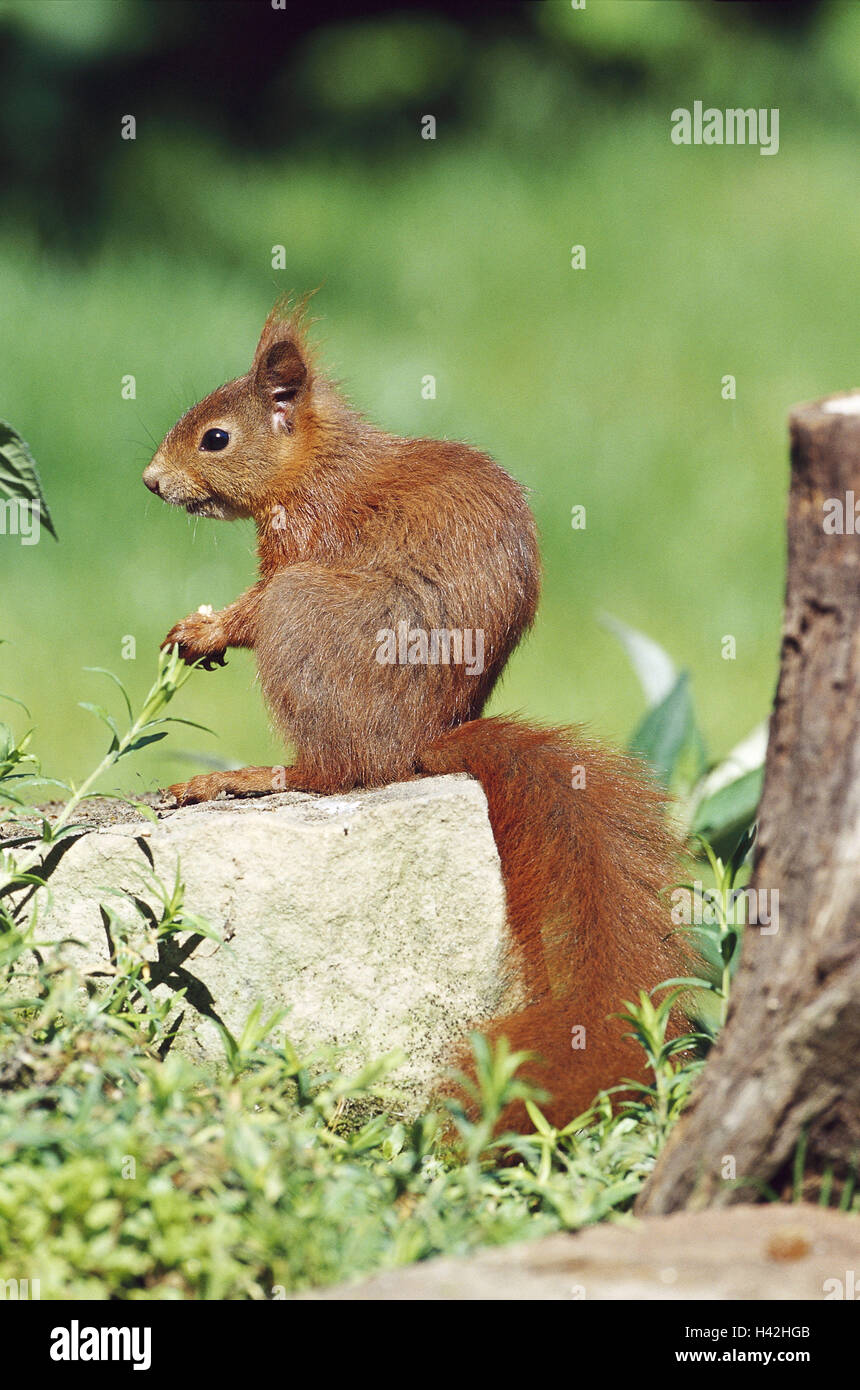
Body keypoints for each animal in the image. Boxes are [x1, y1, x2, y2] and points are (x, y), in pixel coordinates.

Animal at [143, 298, 684, 1130]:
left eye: (216, 438)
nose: (151, 481)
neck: (318, 465)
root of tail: (423, 743)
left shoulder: (308, 536)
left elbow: (255, 607)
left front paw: (205, 630)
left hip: (311, 623)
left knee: (338, 773)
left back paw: (249, 777)